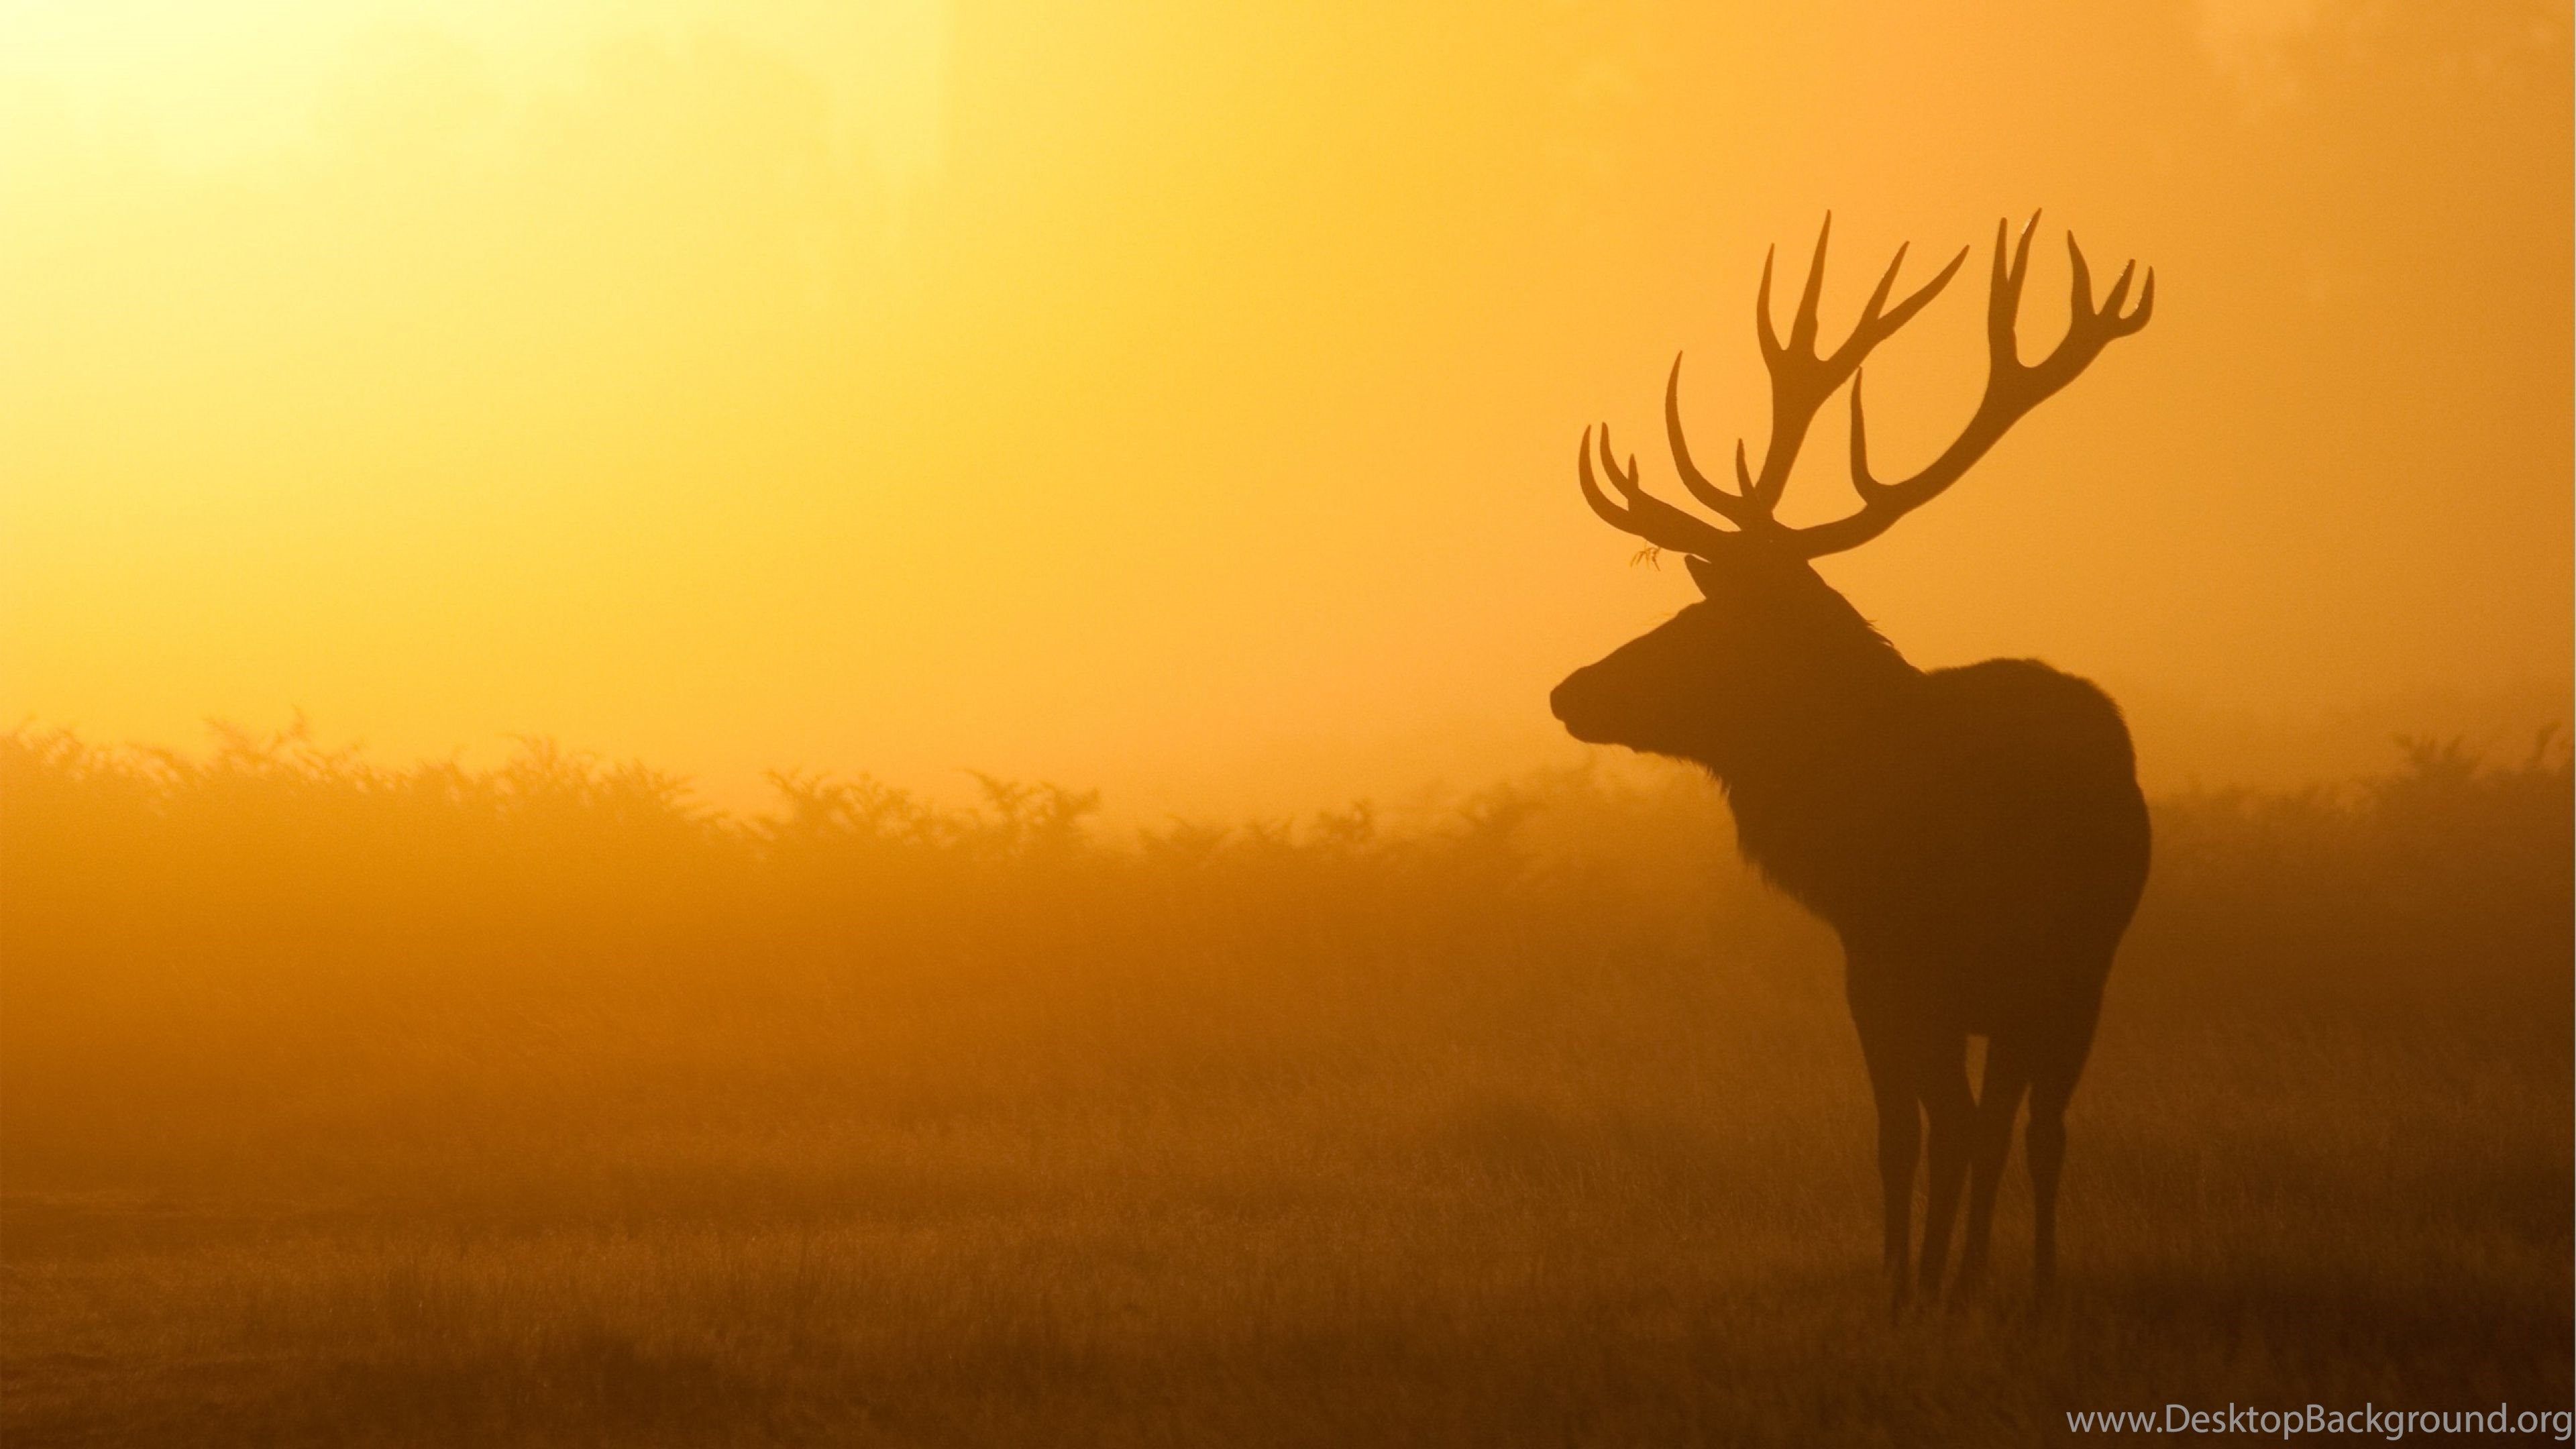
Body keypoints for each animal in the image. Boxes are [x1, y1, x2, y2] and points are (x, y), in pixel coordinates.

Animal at [1549, 214, 2154, 1308]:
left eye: (1703, 625)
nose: (1570, 690)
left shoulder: (1922, 971)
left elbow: (1933, 1133)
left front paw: (1922, 1289)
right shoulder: (1899, 976)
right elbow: (1918, 1136)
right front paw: (1918, 1283)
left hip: (2047, 973)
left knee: (2014, 1127)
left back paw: (1999, 1284)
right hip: (2041, 985)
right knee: (2015, 1126)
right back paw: (2003, 1278)